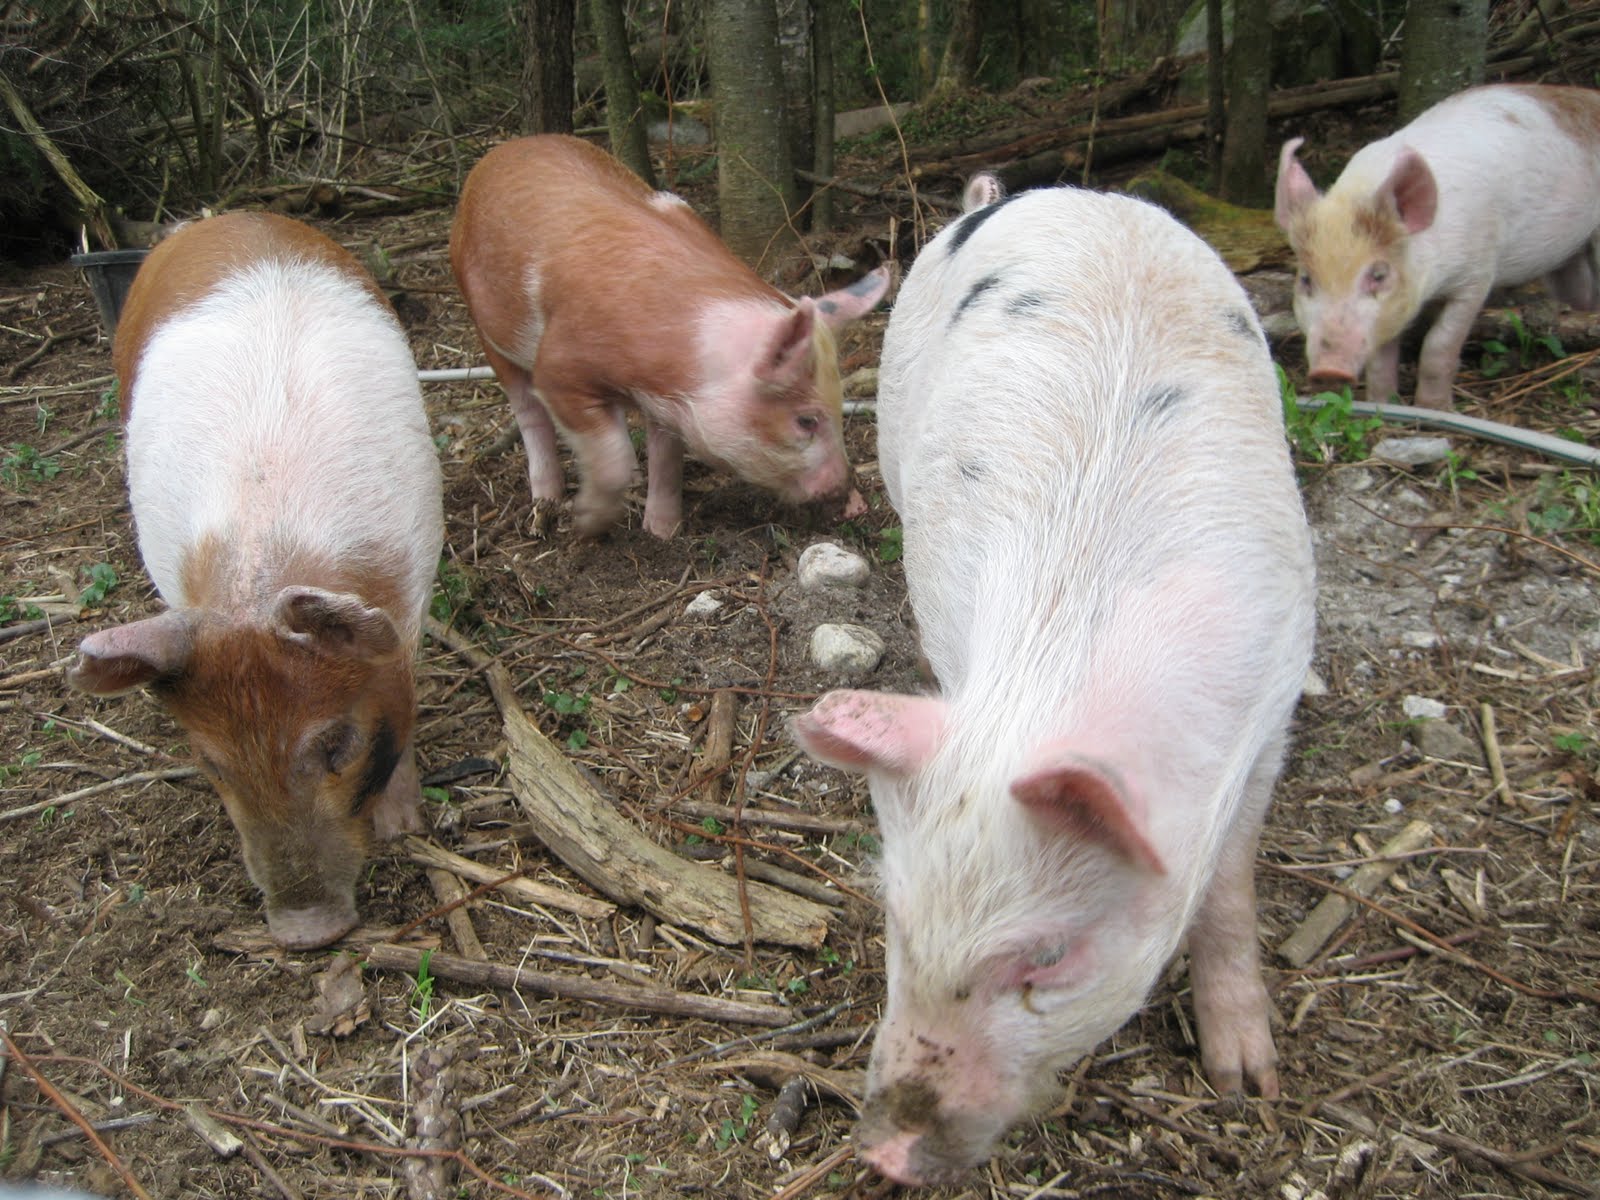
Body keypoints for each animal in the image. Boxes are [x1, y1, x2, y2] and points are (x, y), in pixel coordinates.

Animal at [67, 211, 445, 951]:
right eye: (212, 763)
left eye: (338, 743)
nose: (305, 930)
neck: (258, 567)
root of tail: (227, 217)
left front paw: (404, 828)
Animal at [449, 134, 891, 538]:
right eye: (806, 420)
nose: (856, 504)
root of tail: (501, 151)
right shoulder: (559, 369)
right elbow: (611, 451)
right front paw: (588, 524)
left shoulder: (667, 399)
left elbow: (667, 456)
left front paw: (662, 533)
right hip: (485, 327)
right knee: (529, 412)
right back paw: (547, 503)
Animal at [792, 179, 1316, 1185]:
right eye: (897, 922)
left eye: (1046, 960)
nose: (884, 1154)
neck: (1060, 645)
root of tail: (1067, 192)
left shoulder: (1273, 704)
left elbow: (1231, 885)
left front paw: (1248, 1085)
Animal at [1275, 83, 1600, 409]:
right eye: (1306, 279)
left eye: (1378, 275)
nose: (1328, 371)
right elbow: (1381, 360)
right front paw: (1384, 404)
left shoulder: (1478, 275)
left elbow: (1438, 345)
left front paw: (1434, 409)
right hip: (1566, 256)